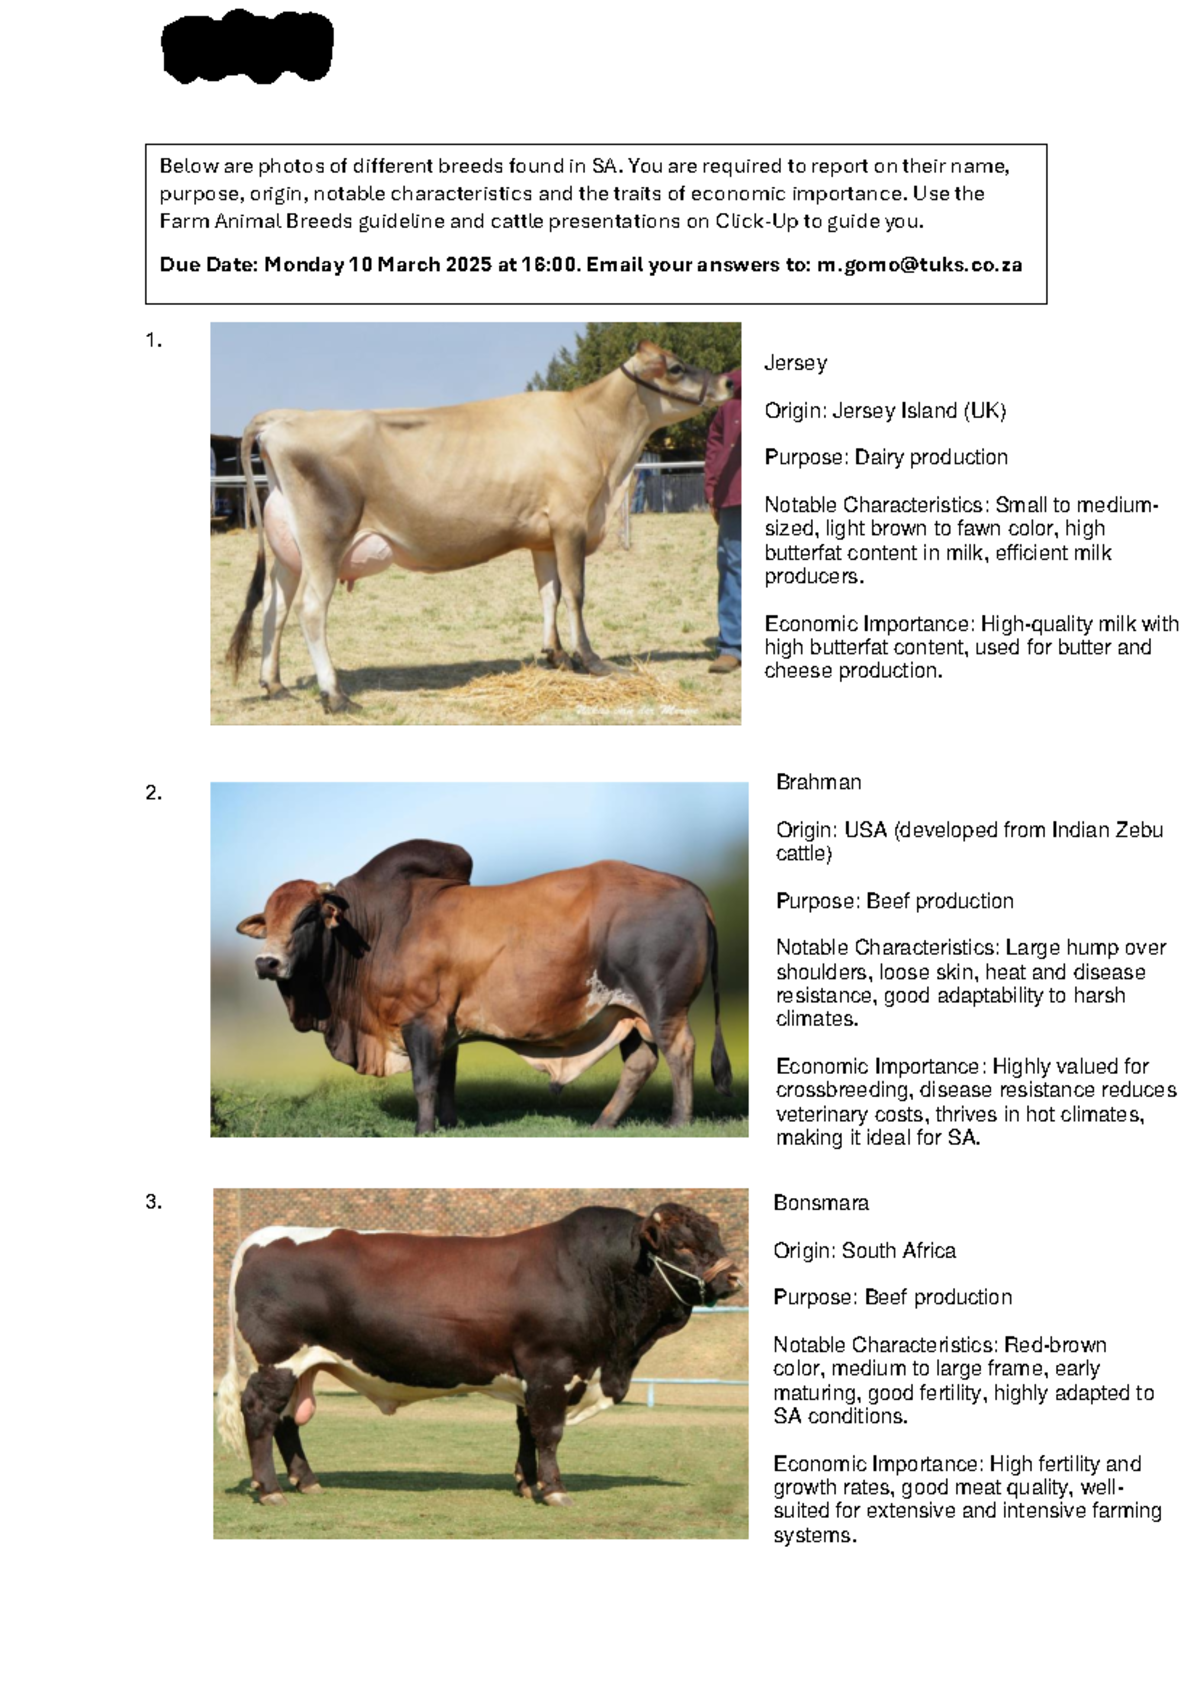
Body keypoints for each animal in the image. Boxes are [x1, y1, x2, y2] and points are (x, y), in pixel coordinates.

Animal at [216, 1202, 743, 1508]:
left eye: (715, 1235)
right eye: (683, 1244)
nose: (734, 1278)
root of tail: (262, 1237)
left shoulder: (531, 1377)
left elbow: (527, 1429)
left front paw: (526, 1483)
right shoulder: (551, 1369)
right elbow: (549, 1432)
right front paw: (554, 1490)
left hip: (298, 1366)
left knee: (288, 1421)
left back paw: (306, 1481)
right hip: (277, 1362)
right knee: (260, 1415)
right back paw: (271, 1491)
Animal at [224, 341, 735, 712]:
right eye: (676, 367)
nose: (729, 381)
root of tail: (285, 419)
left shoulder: (543, 535)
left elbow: (548, 593)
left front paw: (554, 656)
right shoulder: (570, 521)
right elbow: (575, 593)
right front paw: (590, 660)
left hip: (289, 550)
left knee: (273, 608)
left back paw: (274, 684)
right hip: (326, 538)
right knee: (310, 610)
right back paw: (335, 695)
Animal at [234, 838, 735, 1132]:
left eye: (307, 917)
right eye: (269, 920)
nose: (266, 962)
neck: (377, 929)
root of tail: (691, 889)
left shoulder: (422, 1021)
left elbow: (424, 1082)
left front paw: (424, 1129)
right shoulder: (446, 1027)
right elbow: (446, 1080)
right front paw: (449, 1124)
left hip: (661, 1005)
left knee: (680, 1051)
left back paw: (678, 1121)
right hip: (623, 1012)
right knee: (640, 1064)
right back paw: (603, 1124)